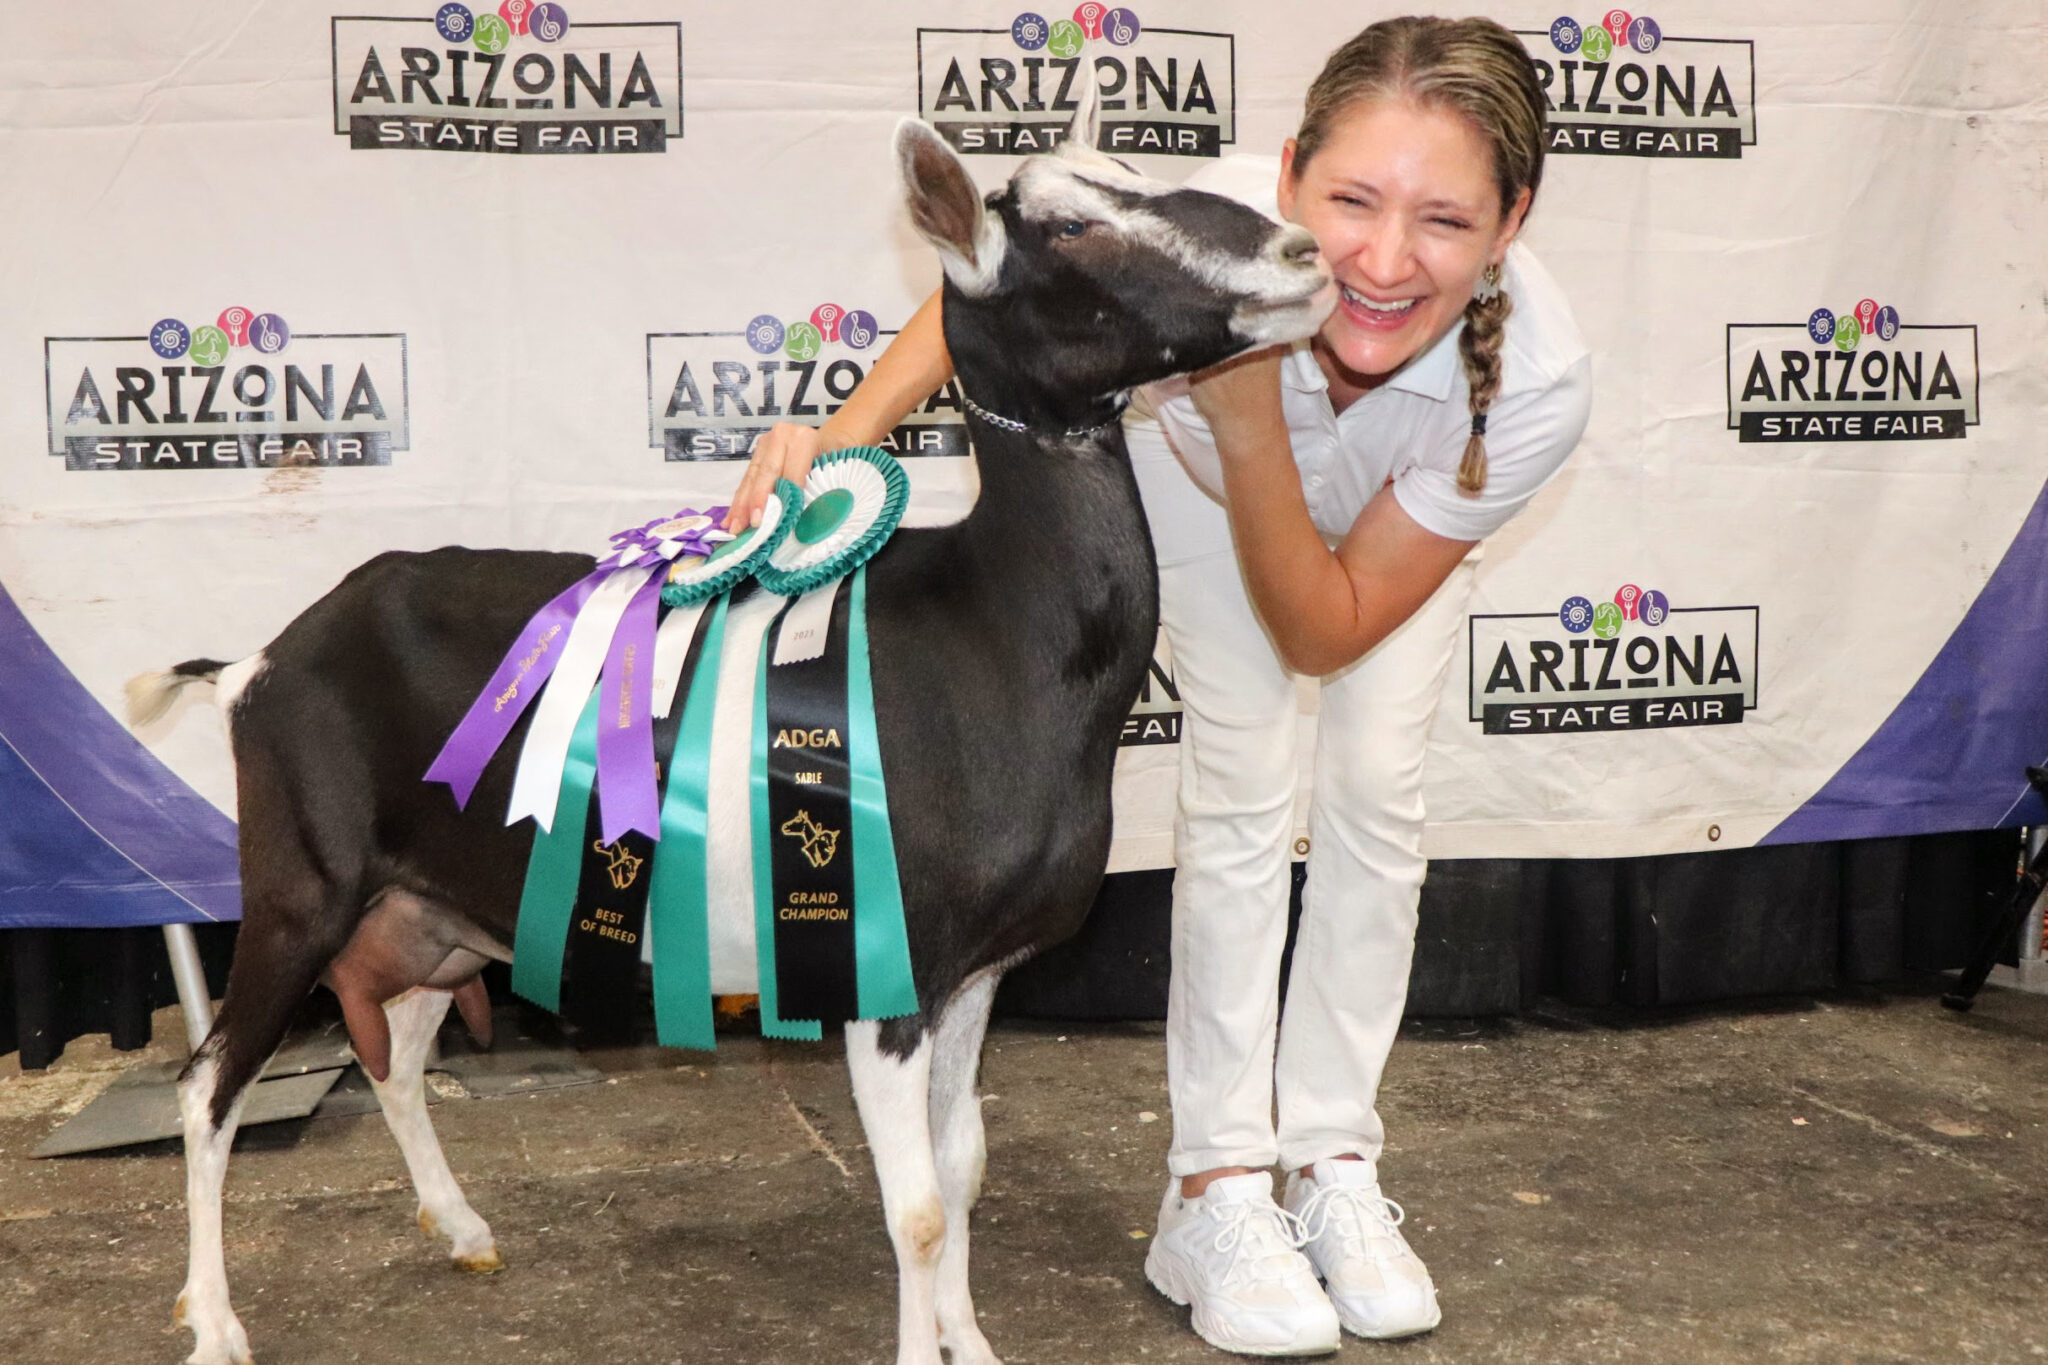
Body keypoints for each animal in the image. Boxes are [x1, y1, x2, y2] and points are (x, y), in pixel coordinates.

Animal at [141, 91, 1330, 1365]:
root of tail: (258, 663)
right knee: (208, 1086)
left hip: (432, 906)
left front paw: (970, 1342)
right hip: (299, 887)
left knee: (397, 1045)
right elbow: (914, 1207)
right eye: (1067, 226)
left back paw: (459, 1228)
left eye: (1135, 178)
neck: (991, 627)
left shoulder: (975, 971)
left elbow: (962, 1164)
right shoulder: (881, 971)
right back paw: (213, 1320)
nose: (1301, 253)